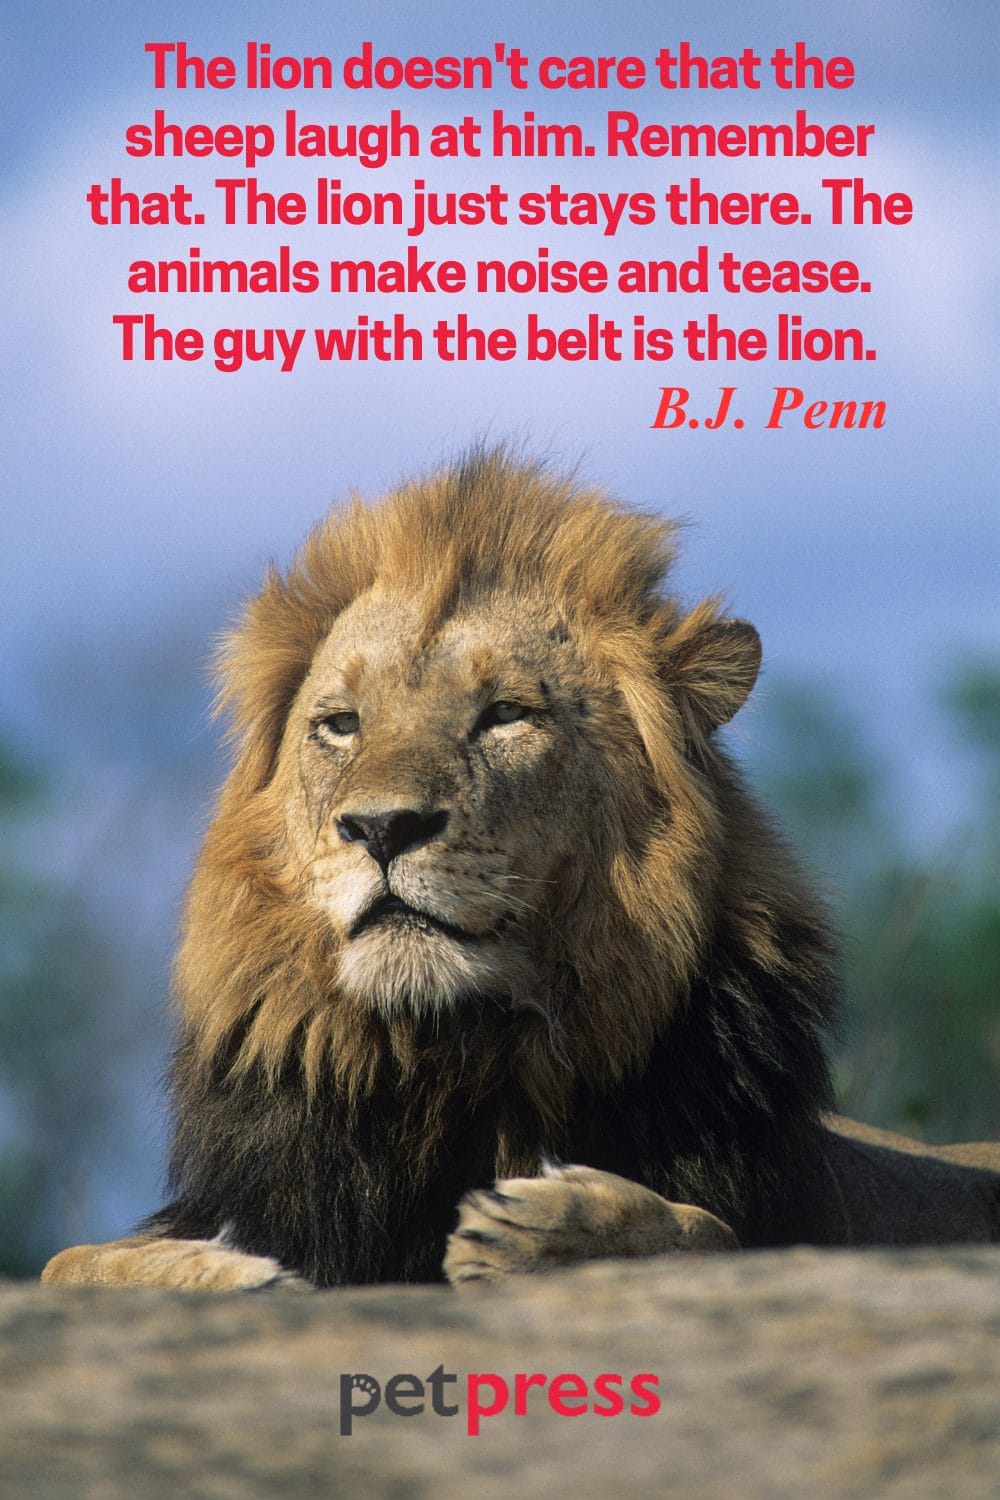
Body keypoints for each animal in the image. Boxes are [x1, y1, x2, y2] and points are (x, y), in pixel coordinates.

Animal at [42, 452, 999, 1291]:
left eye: (505, 715)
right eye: (341, 724)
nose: (382, 828)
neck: (450, 1061)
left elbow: (707, 1232)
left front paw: (547, 1225)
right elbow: (68, 1261)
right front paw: (224, 1269)